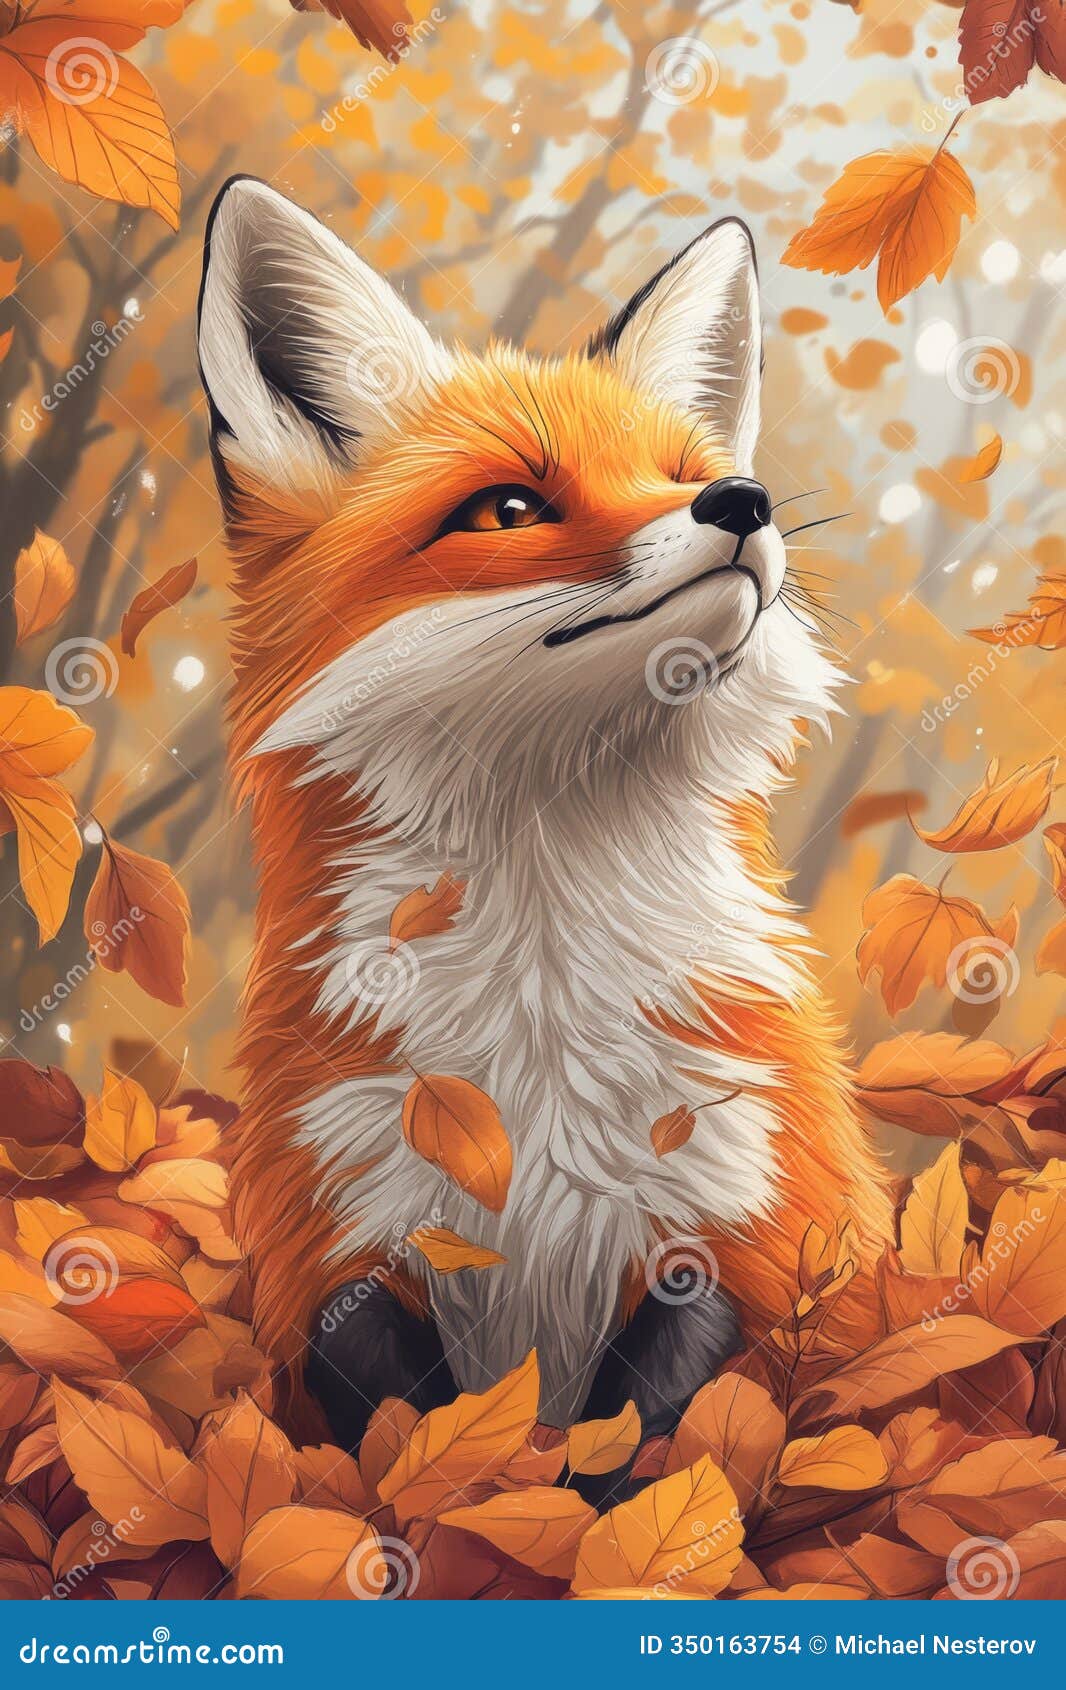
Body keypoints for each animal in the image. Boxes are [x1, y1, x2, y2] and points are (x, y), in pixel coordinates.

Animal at [197, 176, 893, 1453]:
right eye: (510, 506)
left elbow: (640, 1437)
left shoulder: (744, 1218)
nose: (744, 499)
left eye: (679, 469)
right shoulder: (341, 1234)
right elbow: (402, 1432)